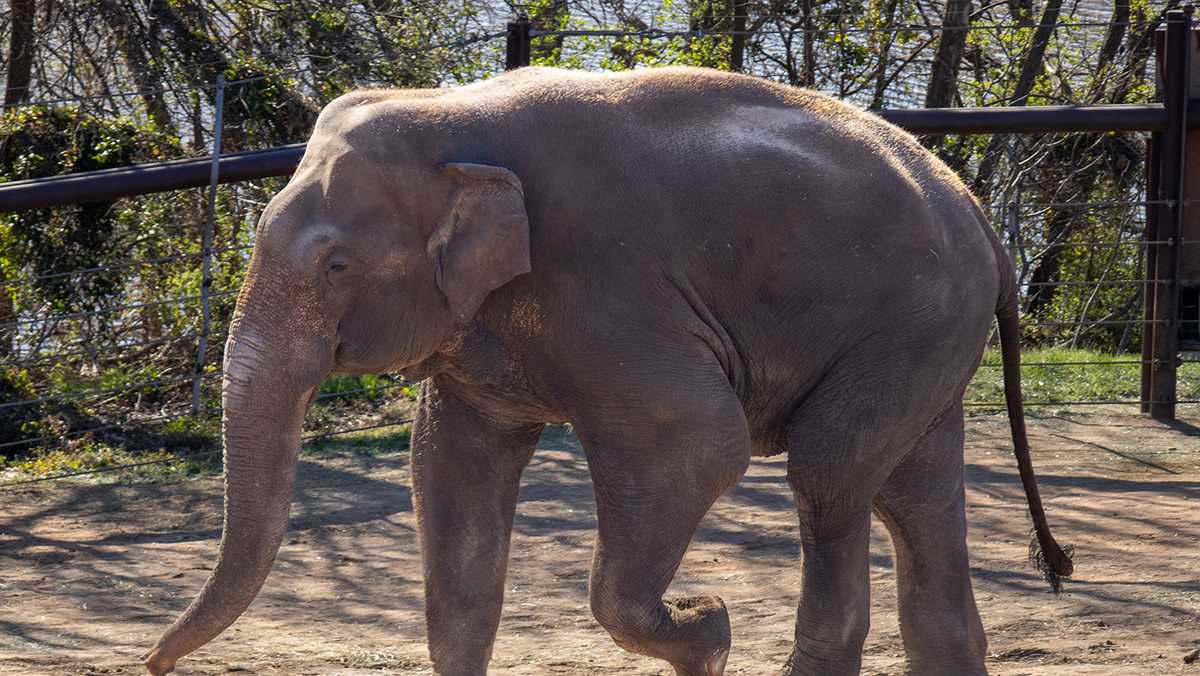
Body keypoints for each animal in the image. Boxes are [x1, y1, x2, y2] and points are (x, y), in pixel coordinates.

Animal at [143, 66, 1073, 676]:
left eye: (336, 266)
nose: (152, 662)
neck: (451, 115)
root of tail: (982, 217)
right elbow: (451, 478)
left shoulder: (608, 286)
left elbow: (697, 446)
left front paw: (708, 628)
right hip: (926, 339)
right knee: (913, 493)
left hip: (908, 322)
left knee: (829, 474)